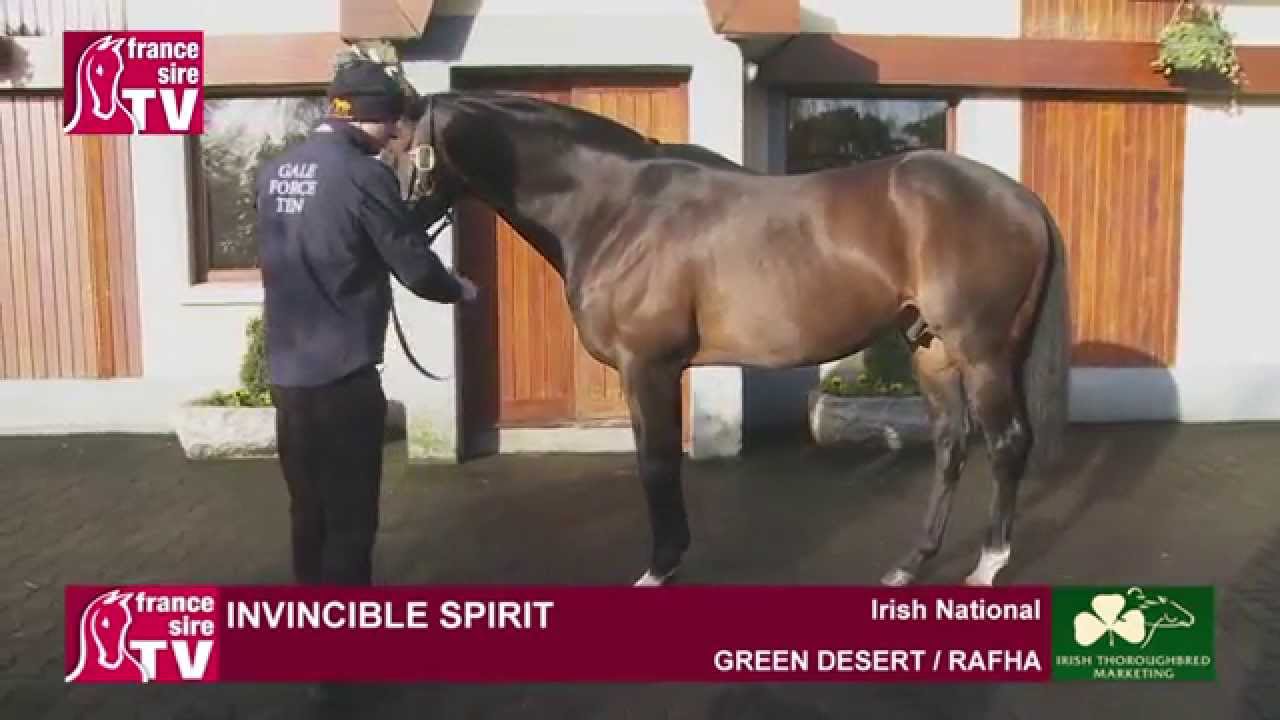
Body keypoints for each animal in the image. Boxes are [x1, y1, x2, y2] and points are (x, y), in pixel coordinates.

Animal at [393, 90, 1071, 588]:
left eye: (397, 145)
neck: (616, 209)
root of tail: (1022, 199)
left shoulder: (648, 366)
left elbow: (656, 462)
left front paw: (660, 567)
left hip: (982, 353)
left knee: (1006, 443)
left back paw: (987, 566)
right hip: (931, 350)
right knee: (951, 445)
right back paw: (910, 564)